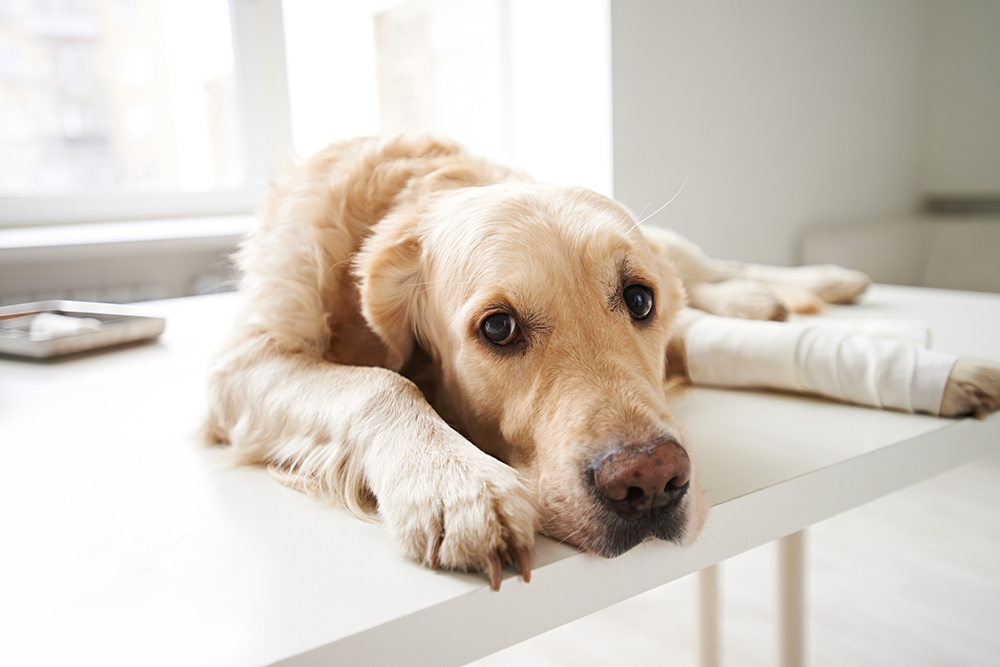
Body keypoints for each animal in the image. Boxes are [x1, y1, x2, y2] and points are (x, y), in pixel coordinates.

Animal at [203, 134, 1000, 588]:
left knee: (711, 267)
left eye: (639, 300)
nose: (651, 483)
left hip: (675, 247)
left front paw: (944, 372)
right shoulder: (243, 365)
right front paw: (456, 484)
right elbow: (378, 381)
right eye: (498, 327)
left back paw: (815, 283)